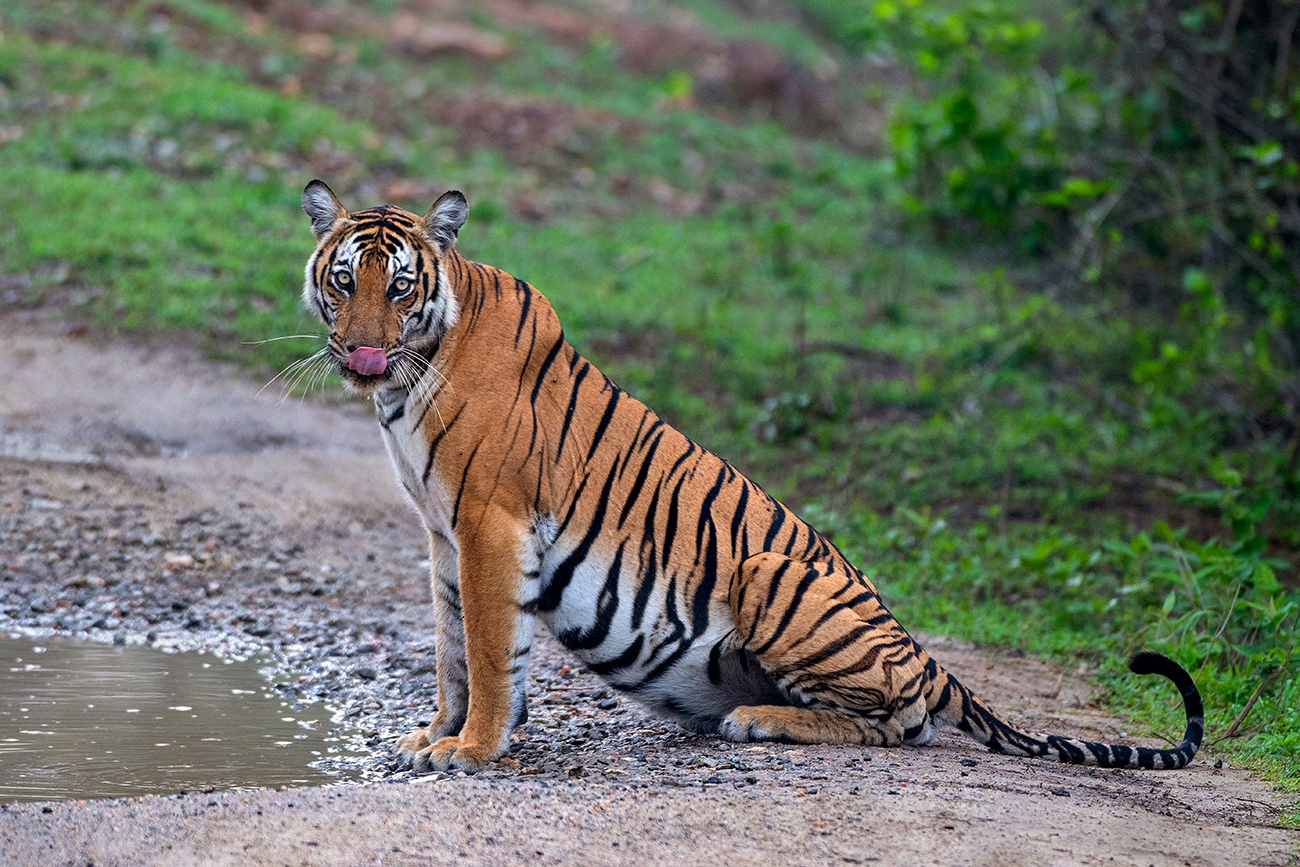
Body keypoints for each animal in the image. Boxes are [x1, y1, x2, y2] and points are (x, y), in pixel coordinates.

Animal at [298, 179, 1203, 774]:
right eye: (344, 280)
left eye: (400, 285)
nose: (364, 353)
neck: (408, 381)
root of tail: (920, 649)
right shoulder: (443, 533)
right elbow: (452, 647)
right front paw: (436, 732)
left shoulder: (490, 522)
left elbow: (489, 649)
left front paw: (474, 747)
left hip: (774, 573)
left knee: (907, 720)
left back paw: (756, 721)